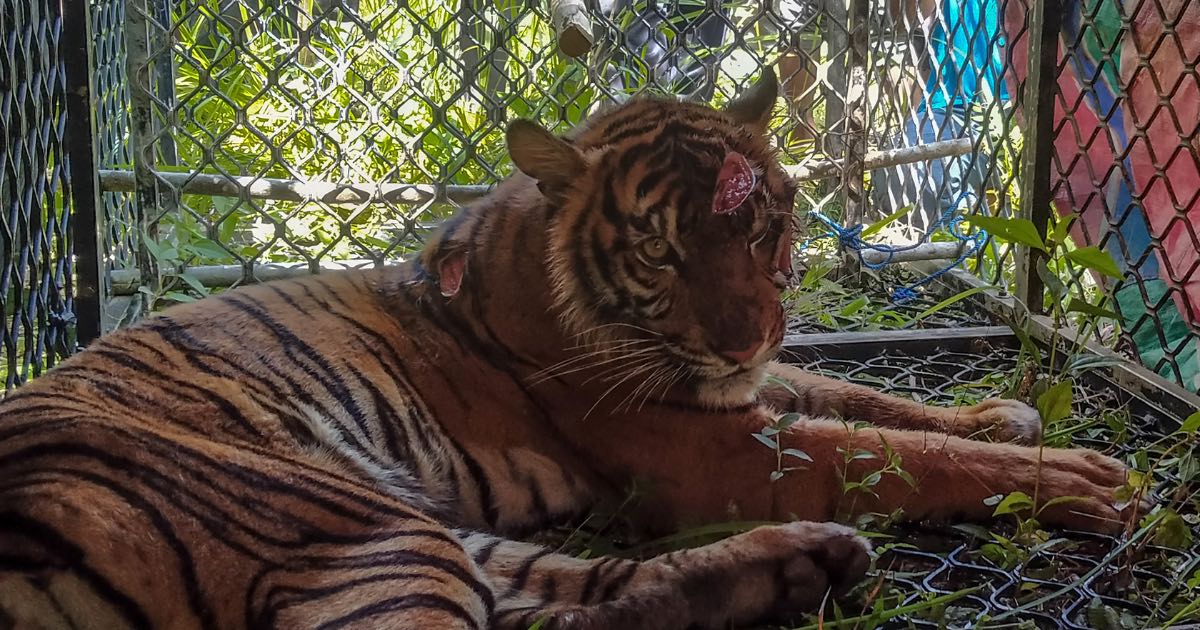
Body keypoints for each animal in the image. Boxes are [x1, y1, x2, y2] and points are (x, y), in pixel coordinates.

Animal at [0, 69, 1143, 630]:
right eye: (660, 251)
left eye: (762, 227)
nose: (743, 335)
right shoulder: (704, 448)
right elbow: (893, 450)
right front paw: (1086, 478)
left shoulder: (740, 391)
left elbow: (858, 396)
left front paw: (1001, 414)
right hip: (334, 523)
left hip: (401, 529)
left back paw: (805, 564)